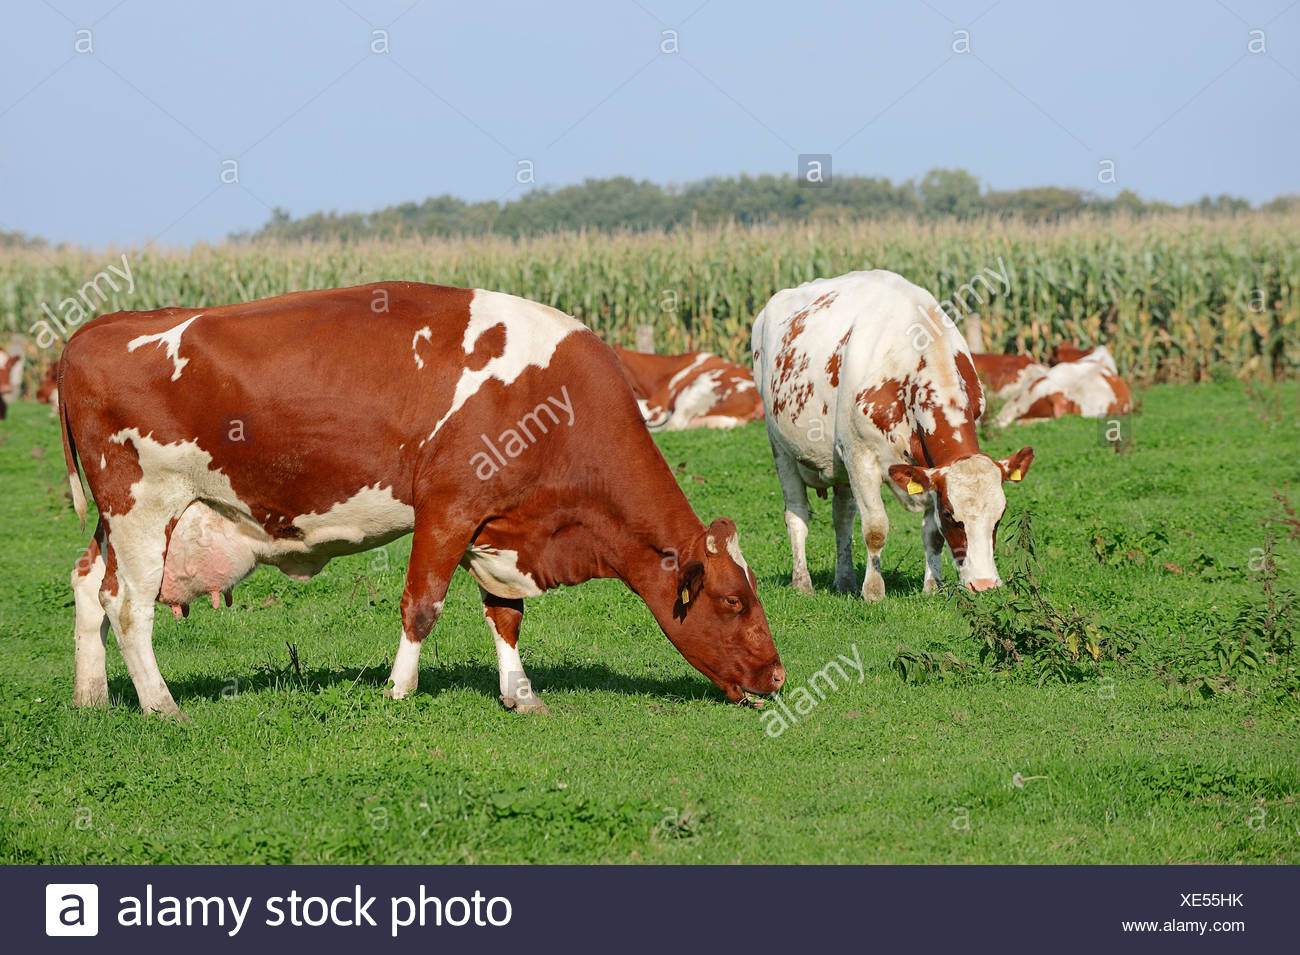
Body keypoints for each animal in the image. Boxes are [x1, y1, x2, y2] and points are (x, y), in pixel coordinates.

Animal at [752, 270, 1034, 599]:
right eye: (952, 516)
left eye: (999, 517)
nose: (985, 584)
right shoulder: (860, 455)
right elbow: (875, 528)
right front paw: (874, 591)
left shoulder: (926, 468)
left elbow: (931, 533)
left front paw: (933, 586)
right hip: (782, 449)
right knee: (797, 516)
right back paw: (802, 582)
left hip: (839, 462)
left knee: (842, 517)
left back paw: (844, 580)